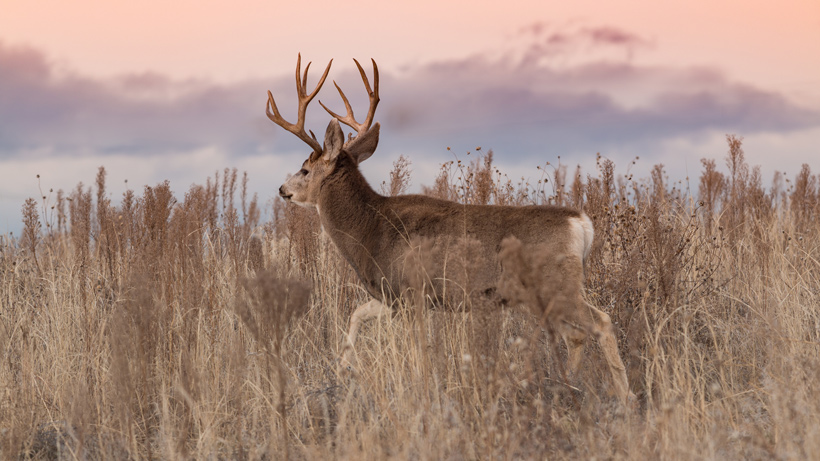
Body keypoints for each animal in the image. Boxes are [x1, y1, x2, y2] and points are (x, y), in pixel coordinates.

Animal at [268, 54, 633, 405]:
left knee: (600, 322)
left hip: (556, 284)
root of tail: (581, 223)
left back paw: (624, 396)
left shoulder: (412, 291)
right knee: (577, 334)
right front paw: (343, 368)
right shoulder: (392, 295)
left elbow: (419, 351)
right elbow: (357, 315)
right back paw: (566, 386)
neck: (369, 230)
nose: (282, 189)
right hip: (540, 295)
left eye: (304, 169)